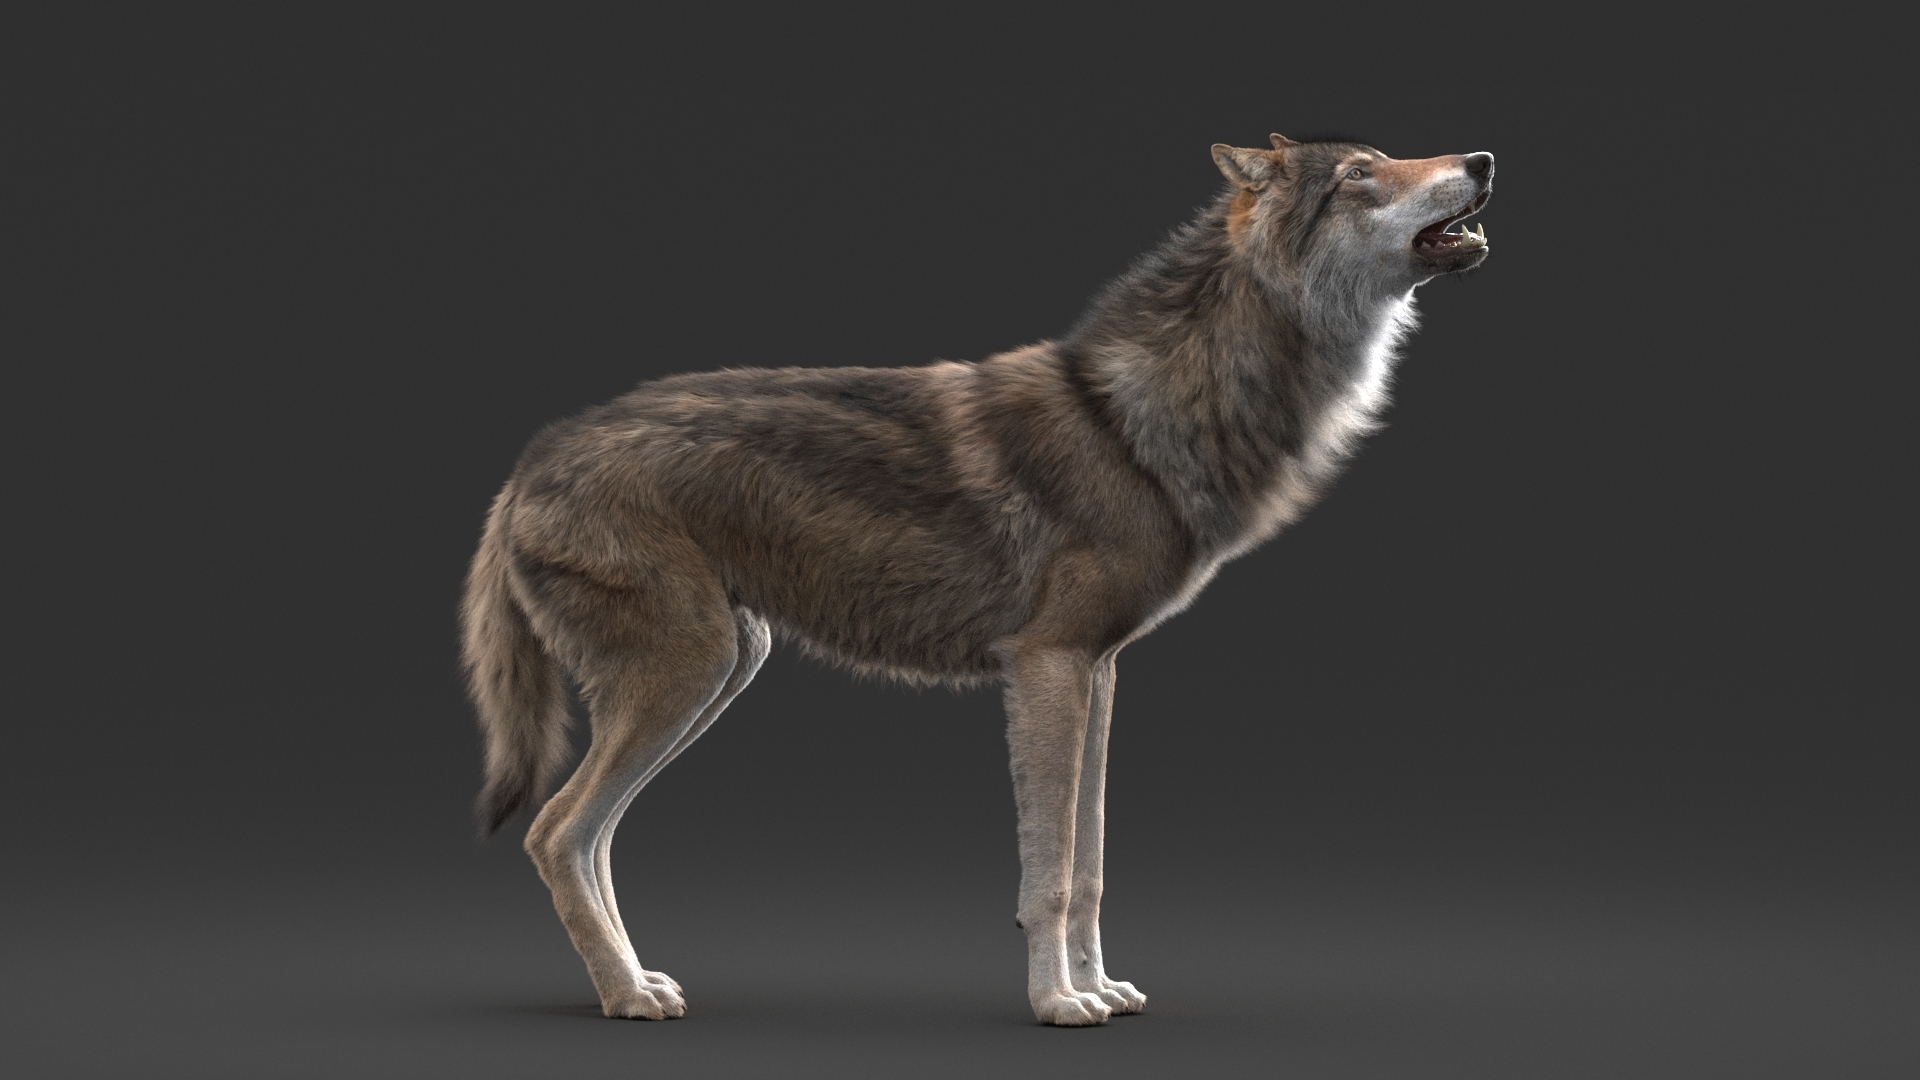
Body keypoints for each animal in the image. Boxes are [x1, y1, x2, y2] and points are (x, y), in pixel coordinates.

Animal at [462, 134, 1494, 1026]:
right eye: (1361, 172)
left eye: (1388, 152)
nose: (1483, 158)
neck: (1135, 418)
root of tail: (527, 464)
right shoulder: (1047, 666)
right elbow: (1051, 877)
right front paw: (1057, 1004)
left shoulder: (1098, 671)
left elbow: (1090, 866)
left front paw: (1100, 988)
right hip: (690, 672)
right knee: (556, 832)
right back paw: (624, 997)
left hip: (719, 671)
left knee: (589, 837)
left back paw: (638, 979)